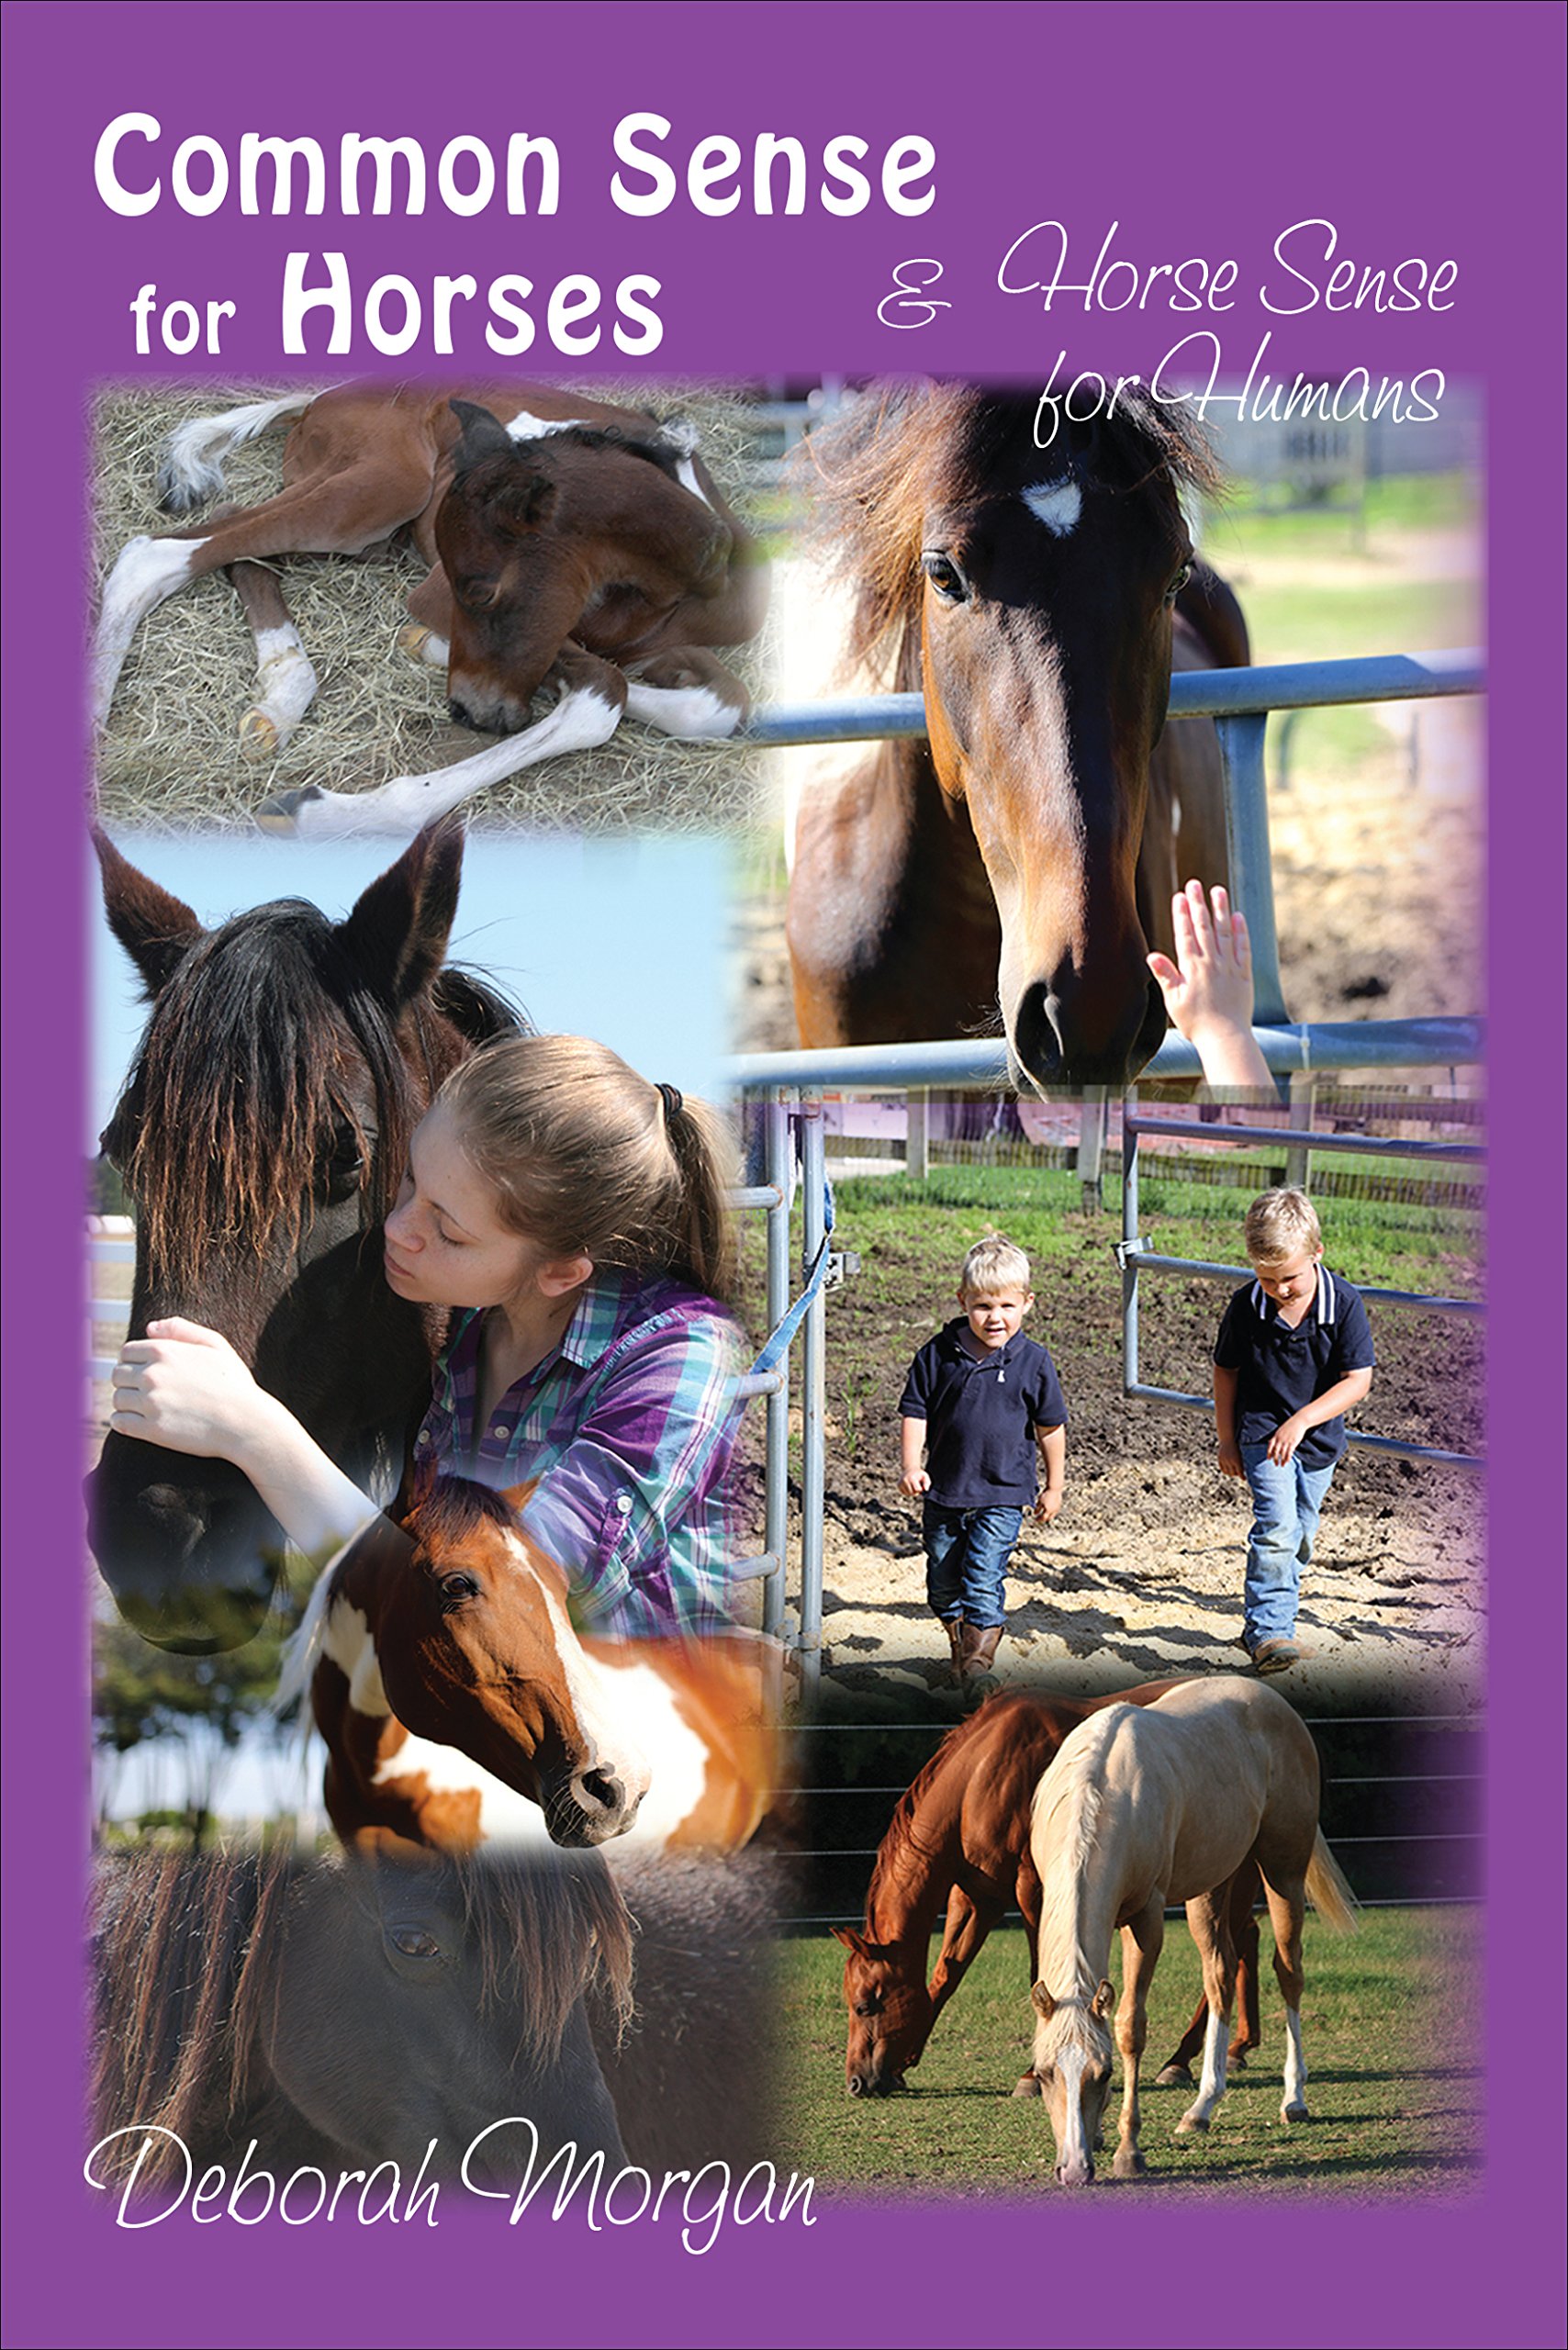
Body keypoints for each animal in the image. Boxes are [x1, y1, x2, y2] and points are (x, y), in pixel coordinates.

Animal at [93, 381, 769, 837]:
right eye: (472, 590)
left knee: (243, 549)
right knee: (153, 555)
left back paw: (280, 700)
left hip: (368, 528)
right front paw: (315, 811)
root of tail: (322, 394)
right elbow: (602, 694)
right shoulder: (442, 596)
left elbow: (719, 704)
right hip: (378, 492)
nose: (469, 712)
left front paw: (427, 648)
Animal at [833, 1685, 1261, 2100]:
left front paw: (1031, 2074)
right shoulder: (976, 1898)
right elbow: (946, 1973)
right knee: (1244, 1940)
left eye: (865, 2004)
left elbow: (1040, 1971)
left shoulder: (1034, 1890)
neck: (982, 1774)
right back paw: (1235, 2047)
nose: (856, 2082)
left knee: (1227, 1954)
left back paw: (1183, 2058)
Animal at [1027, 1676, 1357, 2184]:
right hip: (1211, 1886)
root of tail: (1272, 1700)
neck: (1100, 1791)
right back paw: (1201, 2108)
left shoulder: (1144, 1920)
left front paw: (1128, 2150)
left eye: (1103, 2075)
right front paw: (1097, 2136)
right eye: (1045, 2073)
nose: (1076, 2170)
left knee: (1289, 1971)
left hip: (1282, 1869)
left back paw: (1294, 2099)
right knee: (1220, 1974)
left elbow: (1130, 2027)